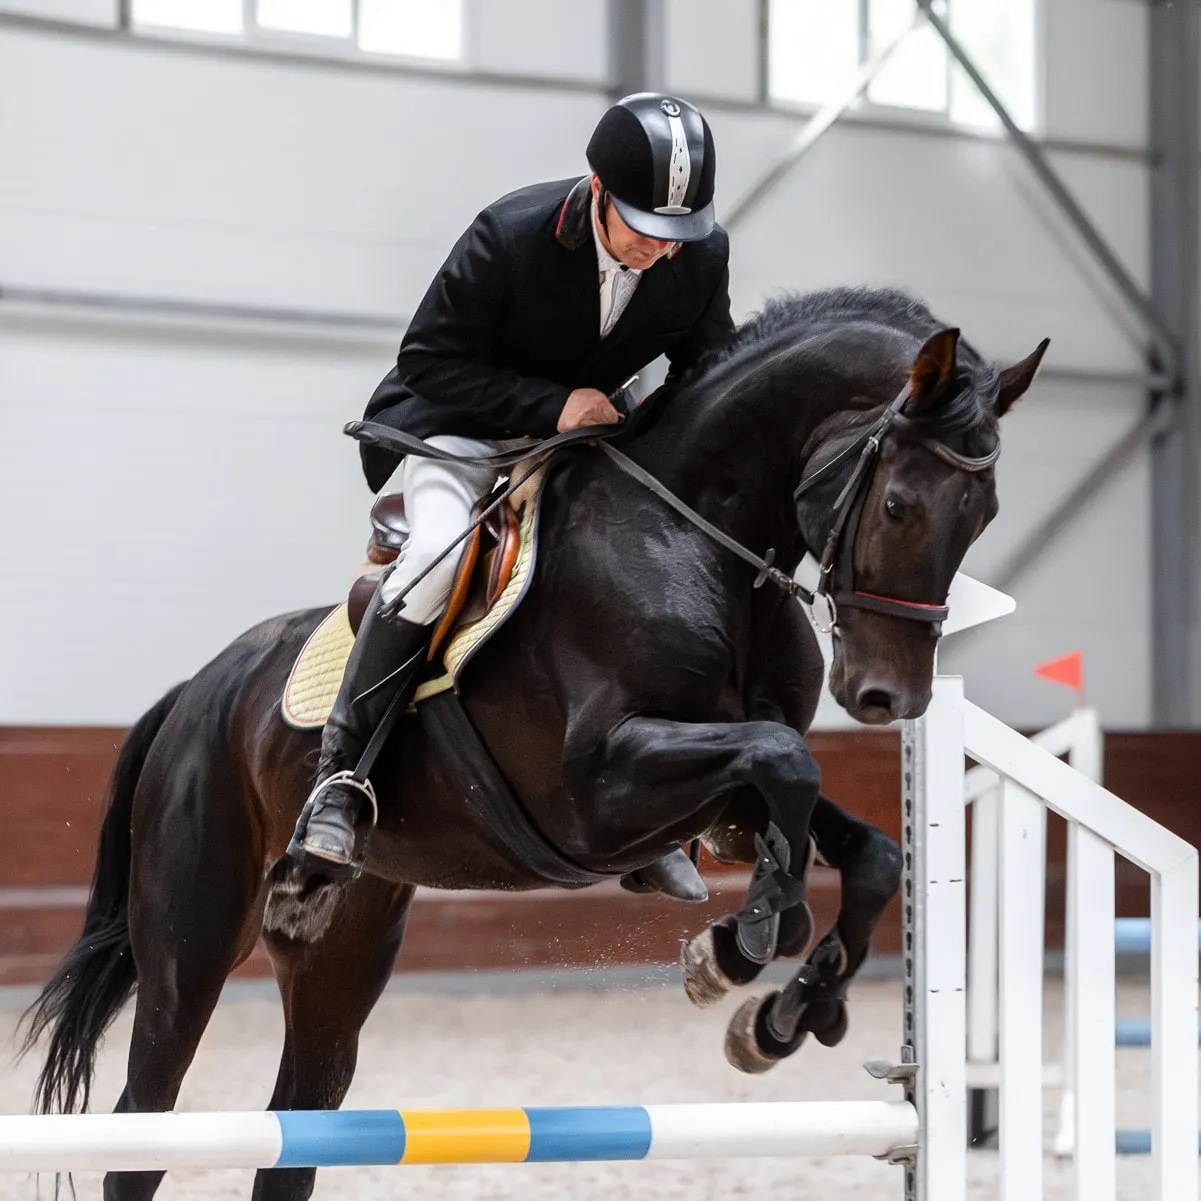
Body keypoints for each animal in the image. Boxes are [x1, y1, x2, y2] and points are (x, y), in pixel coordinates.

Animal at [19, 285, 1047, 1201]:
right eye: (901, 504)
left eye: (984, 514)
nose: (889, 696)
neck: (699, 538)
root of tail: (196, 692)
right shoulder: (595, 790)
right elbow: (784, 765)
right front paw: (746, 944)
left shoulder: (710, 785)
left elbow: (857, 841)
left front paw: (783, 1004)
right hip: (191, 937)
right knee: (143, 1129)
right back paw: (331, 816)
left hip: (338, 953)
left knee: (294, 1132)